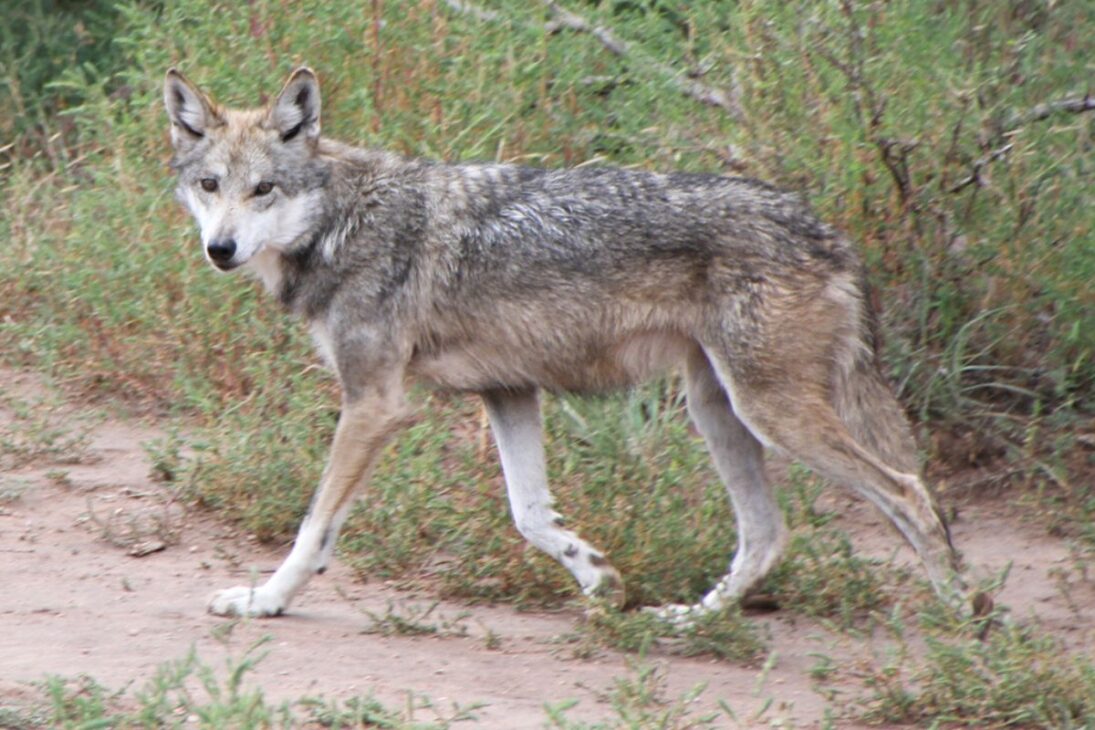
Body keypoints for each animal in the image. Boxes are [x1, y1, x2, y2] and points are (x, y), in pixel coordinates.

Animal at [164, 67, 975, 620]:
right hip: (718, 413)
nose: (220, 250)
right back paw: (685, 621)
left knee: (909, 494)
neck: (340, 224)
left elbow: (314, 529)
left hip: (771, 416)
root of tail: (831, 236)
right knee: (766, 535)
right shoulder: (507, 390)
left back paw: (959, 622)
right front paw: (599, 579)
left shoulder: (375, 406)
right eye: (210, 185)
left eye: (263, 190)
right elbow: (531, 516)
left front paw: (265, 600)